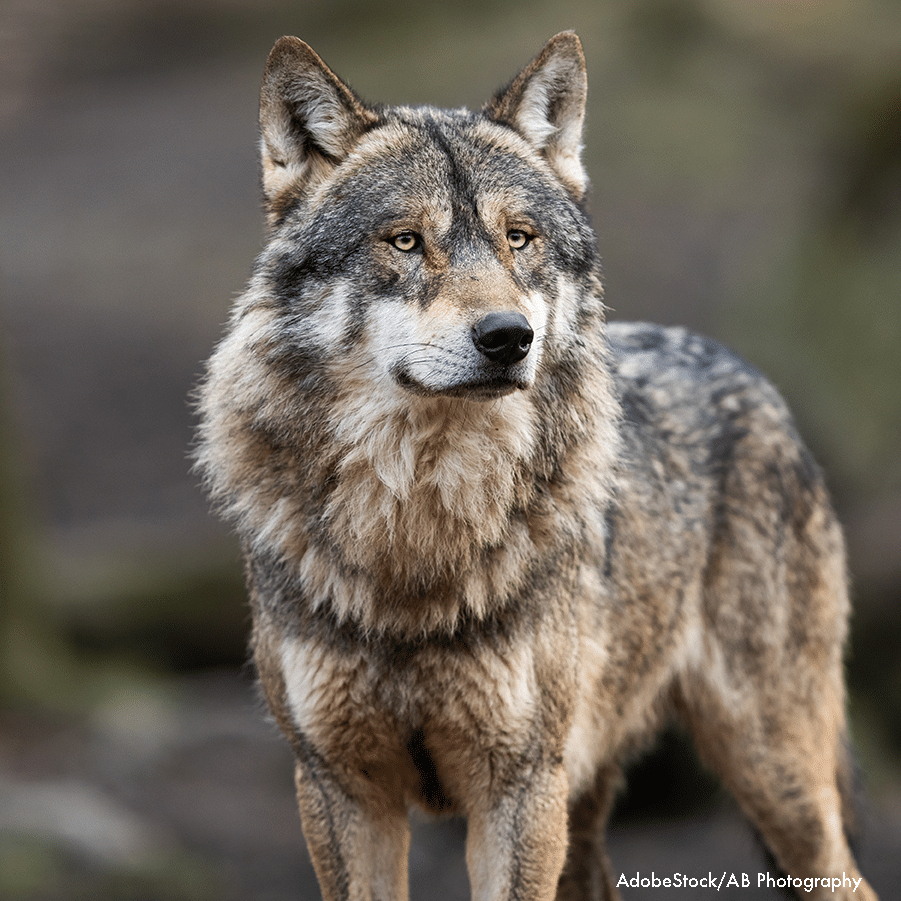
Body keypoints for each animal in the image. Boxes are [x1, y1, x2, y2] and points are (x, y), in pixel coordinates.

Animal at [194, 32, 876, 901]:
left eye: (518, 238)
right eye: (405, 240)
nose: (506, 336)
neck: (417, 535)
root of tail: (746, 372)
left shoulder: (517, 788)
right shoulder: (338, 787)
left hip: (772, 779)